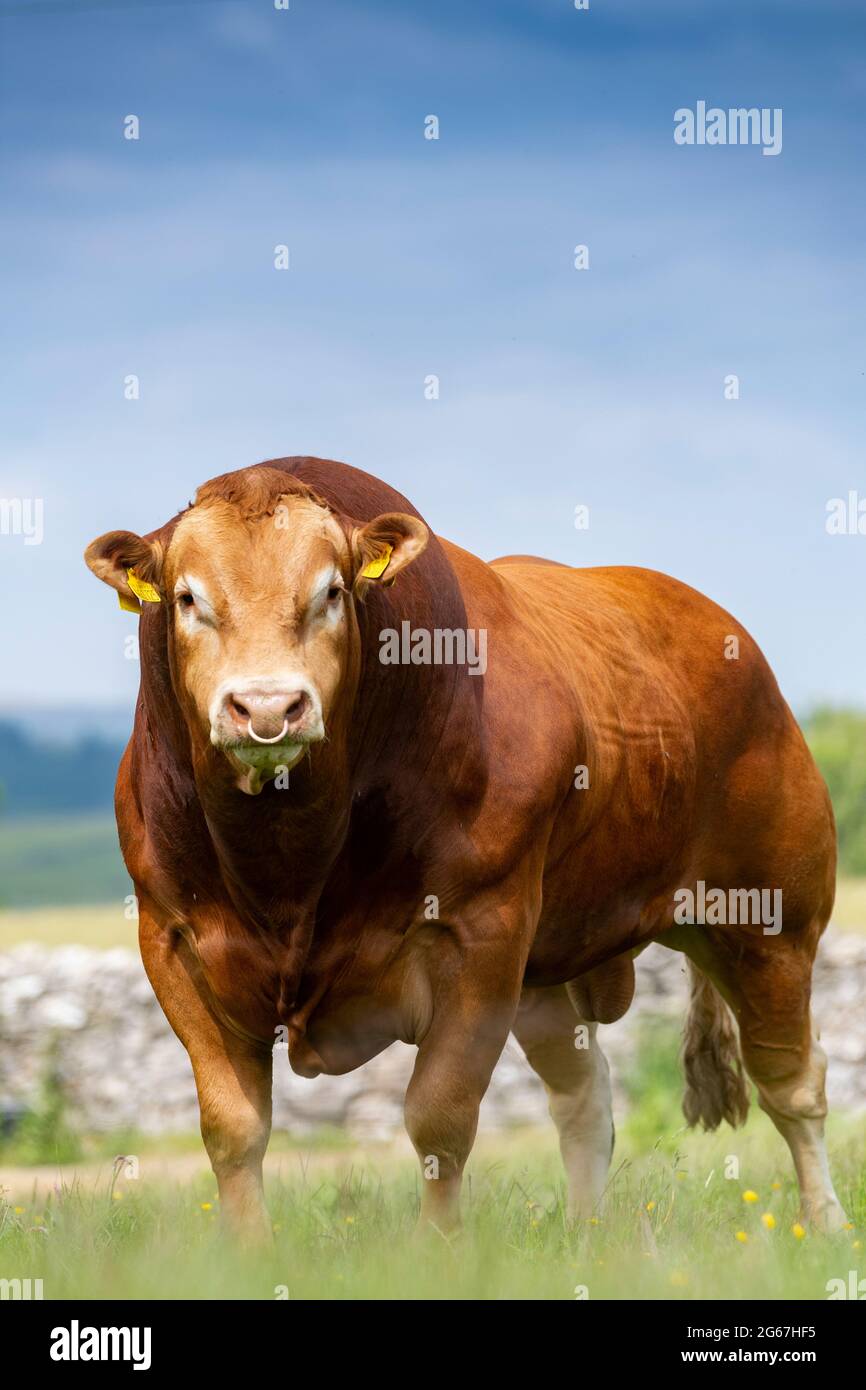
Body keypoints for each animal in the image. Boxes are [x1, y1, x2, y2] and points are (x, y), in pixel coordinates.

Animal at [84, 456, 847, 1241]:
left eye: (331, 592)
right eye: (186, 597)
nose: (268, 707)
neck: (288, 869)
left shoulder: (482, 934)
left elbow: (440, 1118)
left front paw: (436, 1249)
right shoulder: (173, 940)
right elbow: (233, 1128)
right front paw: (249, 1251)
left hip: (769, 924)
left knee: (794, 1082)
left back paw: (824, 1224)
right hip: (550, 966)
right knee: (586, 1095)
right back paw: (586, 1234)